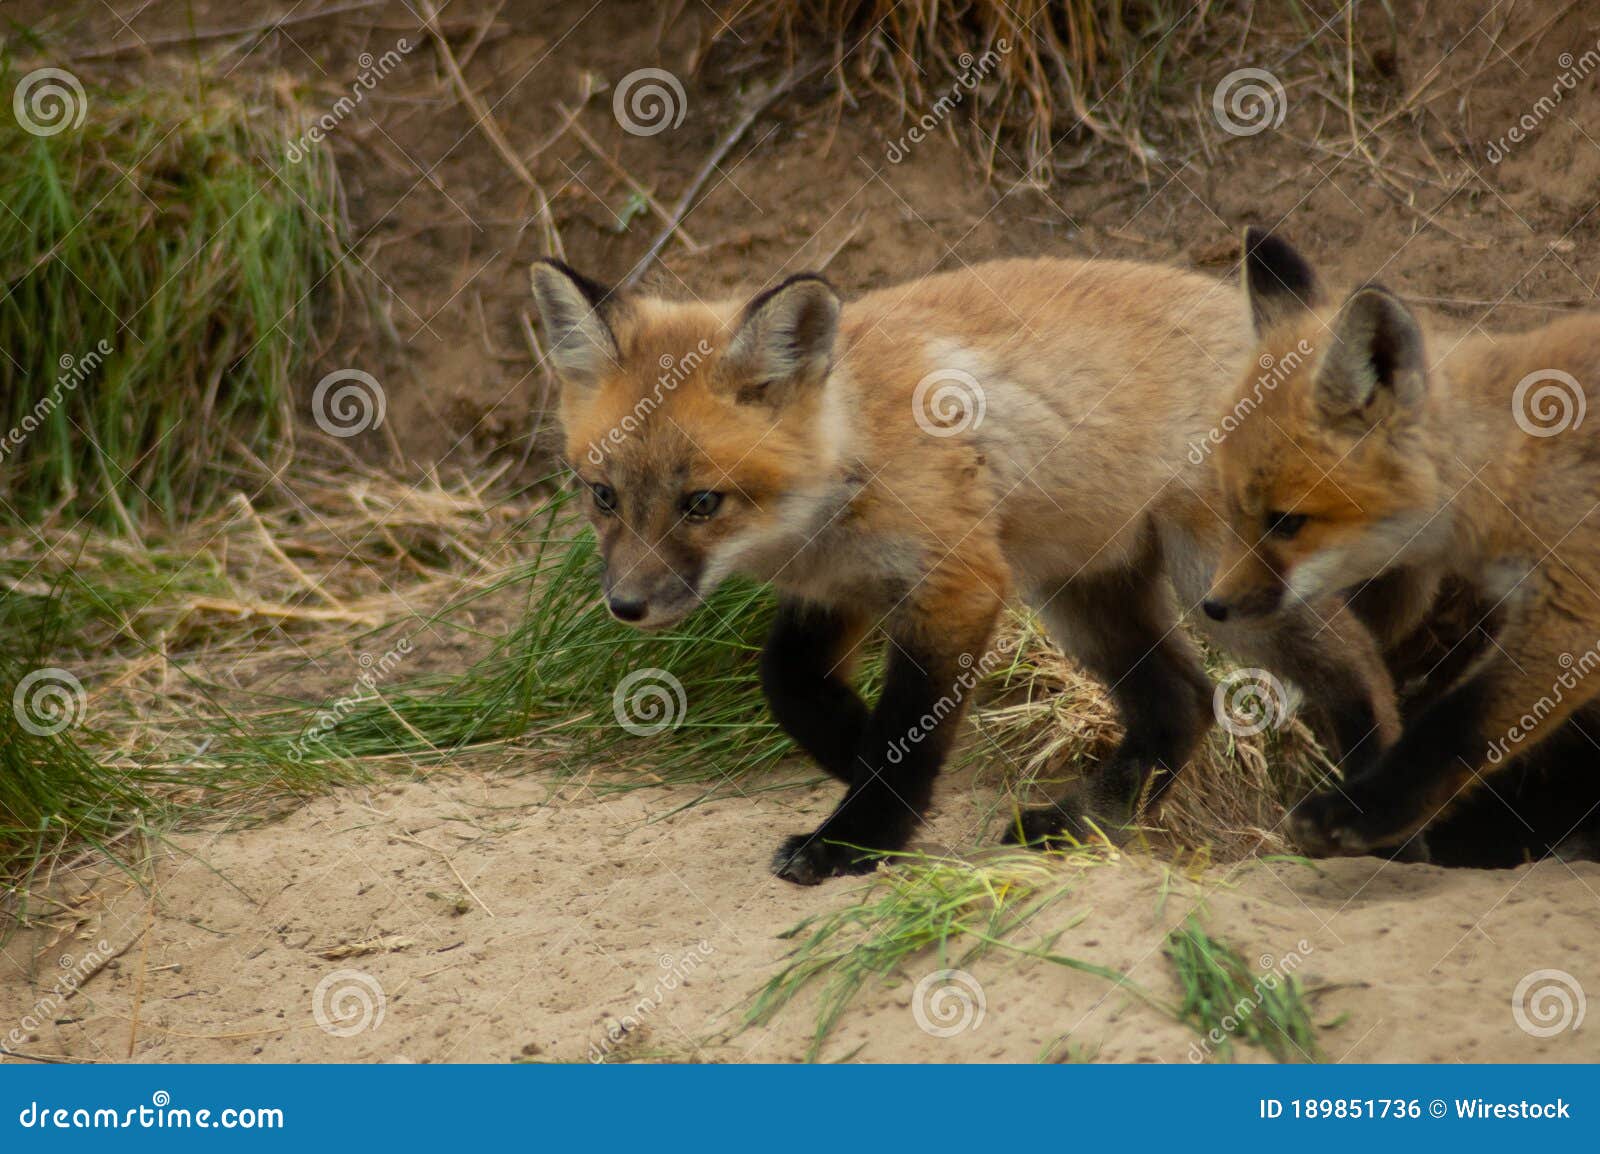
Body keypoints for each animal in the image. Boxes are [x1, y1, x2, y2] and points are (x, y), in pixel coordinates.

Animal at [530, 255, 1402, 884]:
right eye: (602, 495)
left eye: (701, 503)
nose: (625, 605)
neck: (851, 454)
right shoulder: (839, 588)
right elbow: (788, 682)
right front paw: (849, 752)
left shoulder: (957, 584)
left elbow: (906, 732)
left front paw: (856, 839)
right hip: (1082, 596)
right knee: (1180, 702)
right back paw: (1081, 823)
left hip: (1217, 586)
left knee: (1359, 673)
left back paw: (1378, 811)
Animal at [1204, 228, 1600, 857]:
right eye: (1232, 510)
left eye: (1287, 522)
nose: (1213, 606)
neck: (1512, 465)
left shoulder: (1572, 609)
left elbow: (1454, 725)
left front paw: (1360, 813)